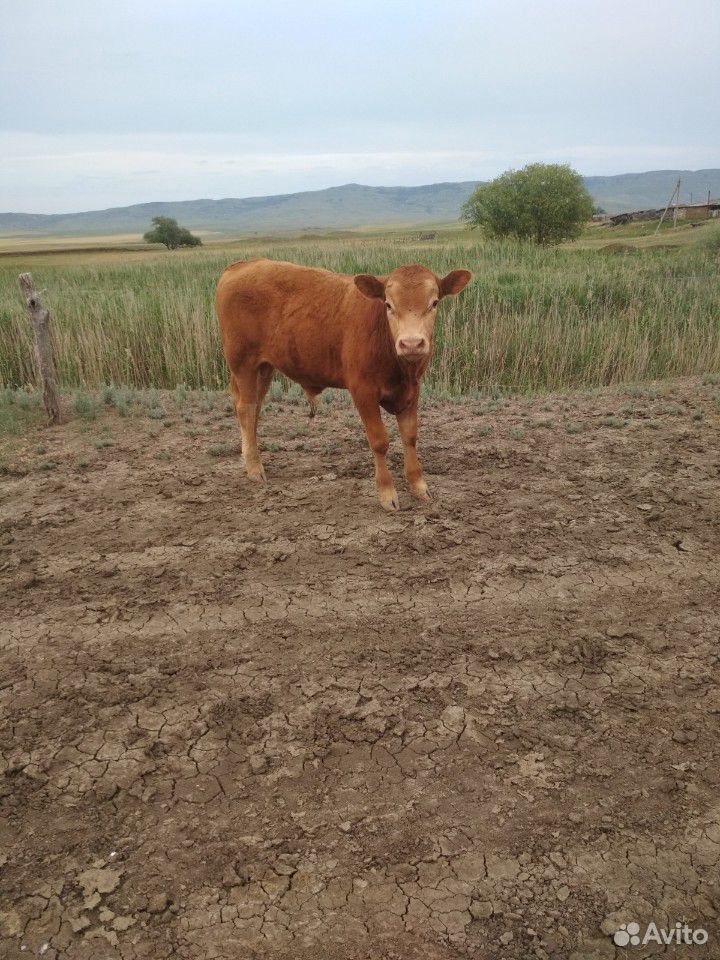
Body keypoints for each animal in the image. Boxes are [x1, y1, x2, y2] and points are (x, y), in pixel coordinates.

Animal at [215, 259, 471, 510]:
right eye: (388, 305)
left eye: (434, 303)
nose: (411, 344)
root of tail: (242, 265)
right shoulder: (363, 391)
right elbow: (379, 441)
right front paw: (387, 493)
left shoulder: (413, 390)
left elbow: (410, 436)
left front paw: (418, 486)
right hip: (243, 363)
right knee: (246, 408)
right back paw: (254, 468)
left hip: (264, 367)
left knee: (254, 409)